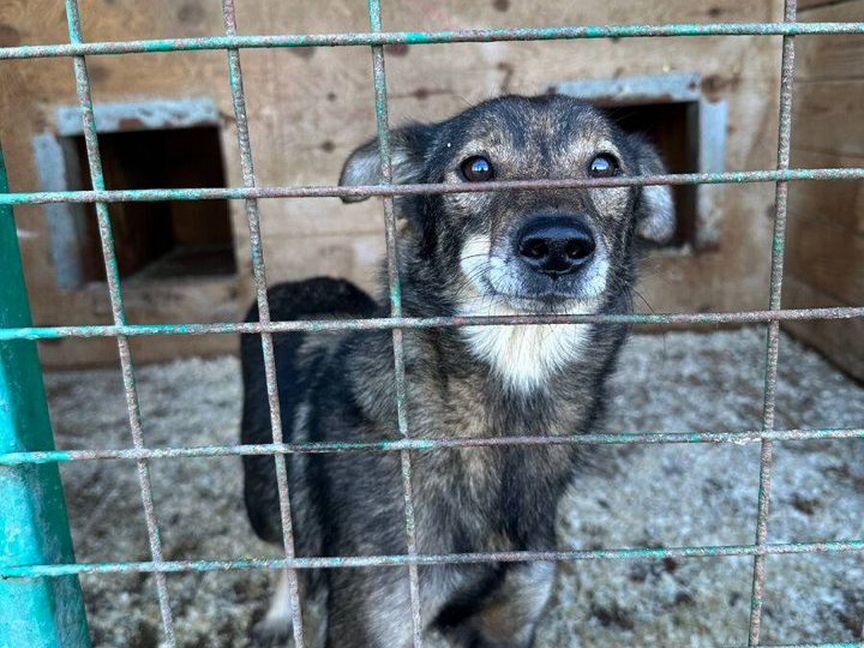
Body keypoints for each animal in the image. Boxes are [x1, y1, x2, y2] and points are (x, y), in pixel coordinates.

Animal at [241, 92, 676, 648]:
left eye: (604, 166)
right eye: (476, 168)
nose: (558, 245)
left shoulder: (514, 616)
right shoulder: (373, 623)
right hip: (261, 495)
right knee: (286, 549)